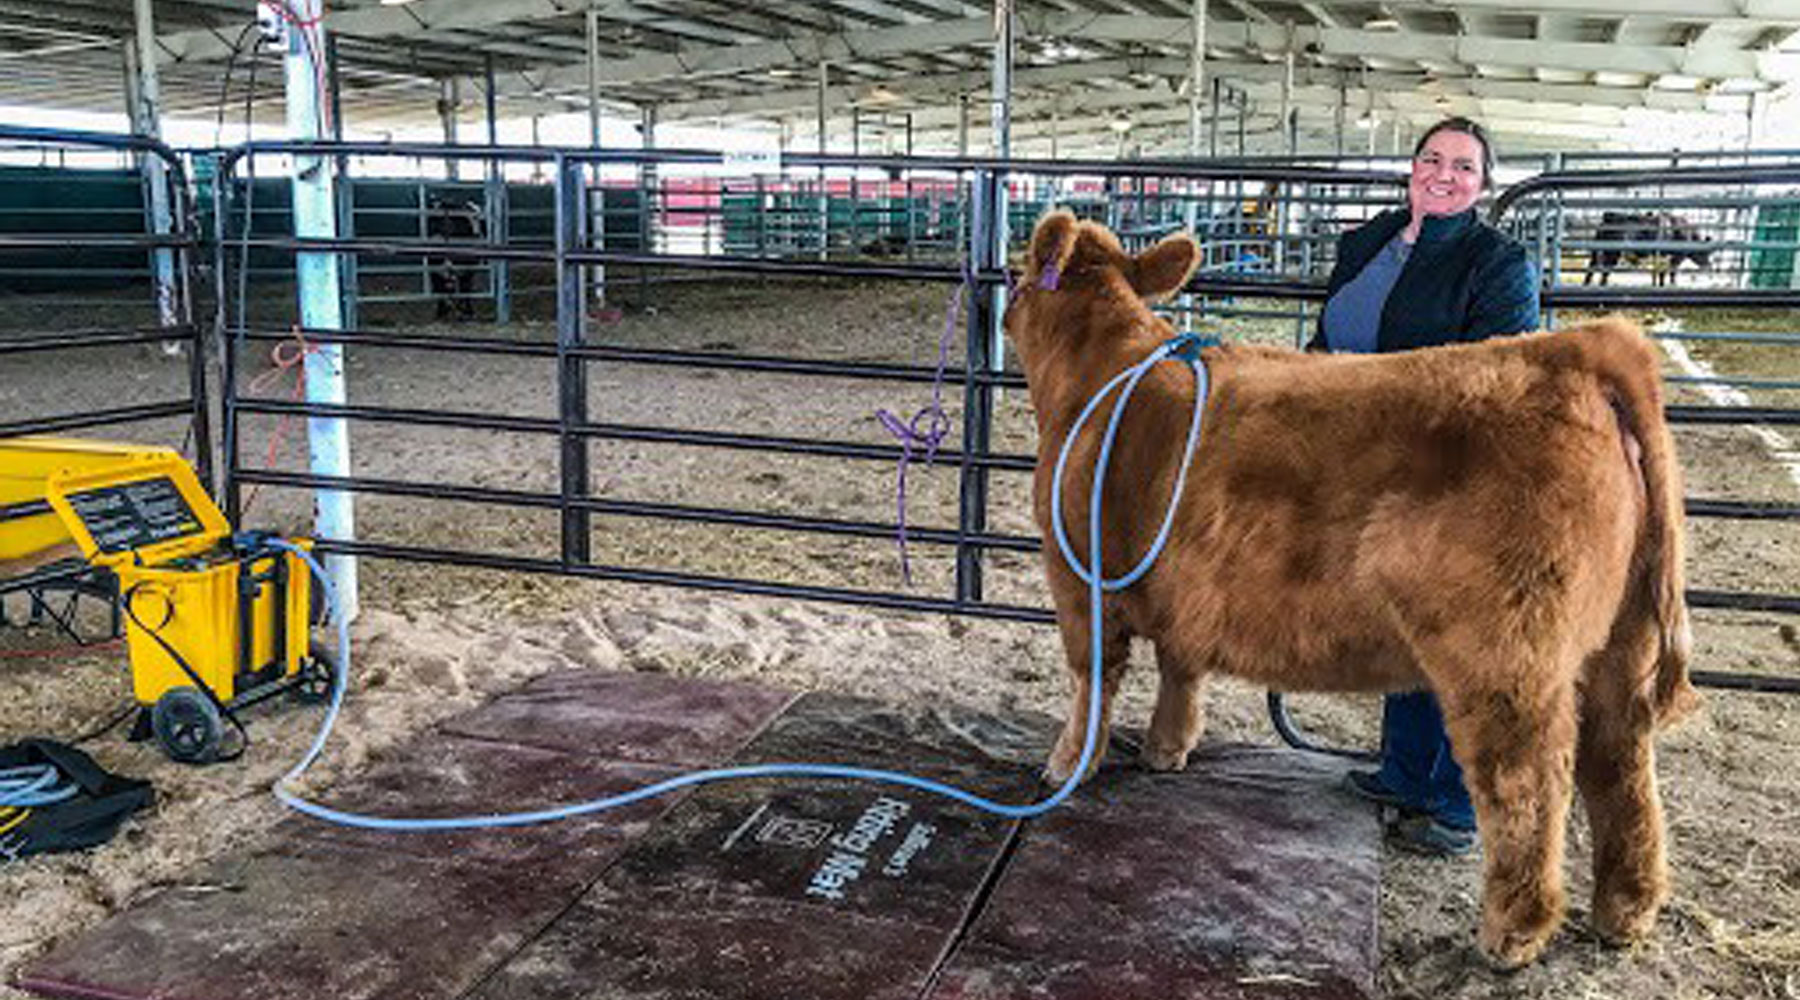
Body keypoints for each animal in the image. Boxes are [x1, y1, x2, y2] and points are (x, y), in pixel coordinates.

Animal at [1005, 209, 1699, 970]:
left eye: (1016, 272)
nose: (1002, 288)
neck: (1103, 374)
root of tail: (1574, 349)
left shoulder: (1079, 579)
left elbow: (1092, 678)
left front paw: (1067, 767)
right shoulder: (1181, 583)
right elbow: (1178, 666)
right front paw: (1168, 748)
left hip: (1507, 661)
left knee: (1530, 783)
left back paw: (1511, 934)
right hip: (1623, 645)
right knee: (1623, 767)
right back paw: (1624, 913)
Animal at [1584, 210, 1712, 287]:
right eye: (1706, 253)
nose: (1709, 267)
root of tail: (1609, 217)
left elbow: (1663, 272)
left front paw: (1661, 284)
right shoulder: (1676, 257)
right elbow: (1672, 271)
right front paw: (1672, 284)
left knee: (1593, 267)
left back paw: (1587, 284)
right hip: (1613, 253)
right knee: (1605, 270)